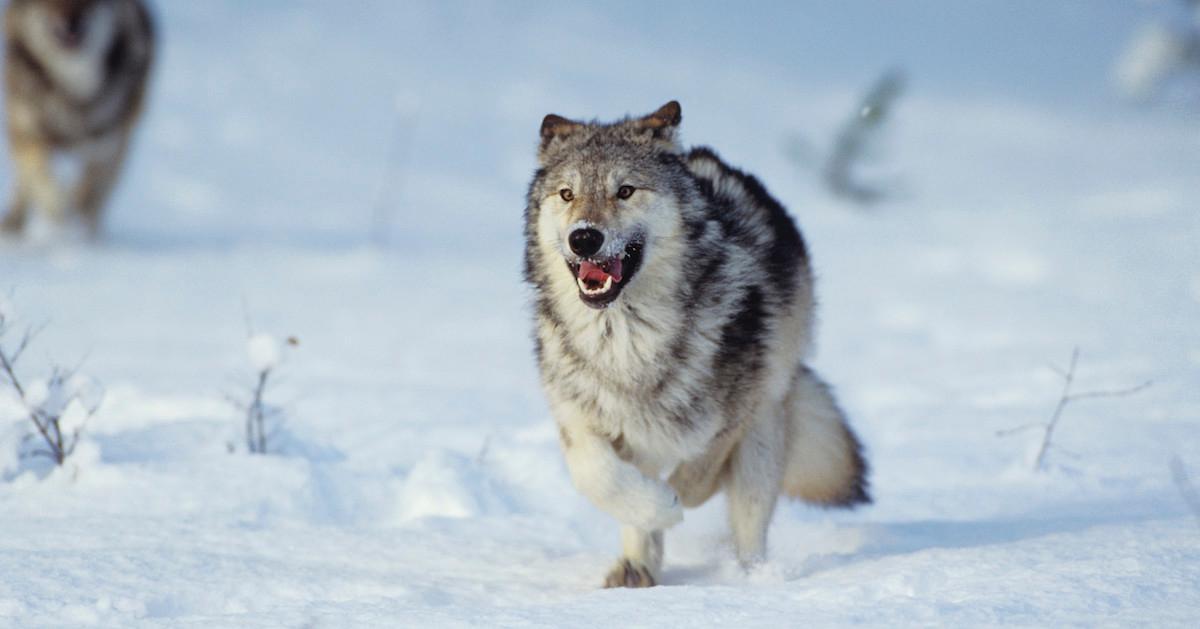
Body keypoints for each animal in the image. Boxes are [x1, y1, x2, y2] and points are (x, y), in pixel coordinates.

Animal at [2, 0, 154, 237]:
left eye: (90, 3)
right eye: (48, 3)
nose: (71, 23)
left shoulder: (107, 147)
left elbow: (87, 194)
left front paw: (78, 223)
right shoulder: (29, 133)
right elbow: (42, 181)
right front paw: (60, 210)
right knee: (24, 184)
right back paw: (14, 222)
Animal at [524, 101, 870, 588]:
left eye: (625, 191)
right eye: (567, 194)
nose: (584, 237)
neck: (627, 338)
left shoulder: (735, 416)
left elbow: (699, 475)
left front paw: (674, 499)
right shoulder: (579, 416)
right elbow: (597, 476)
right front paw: (655, 509)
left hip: (765, 427)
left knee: (748, 518)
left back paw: (749, 577)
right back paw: (636, 568)